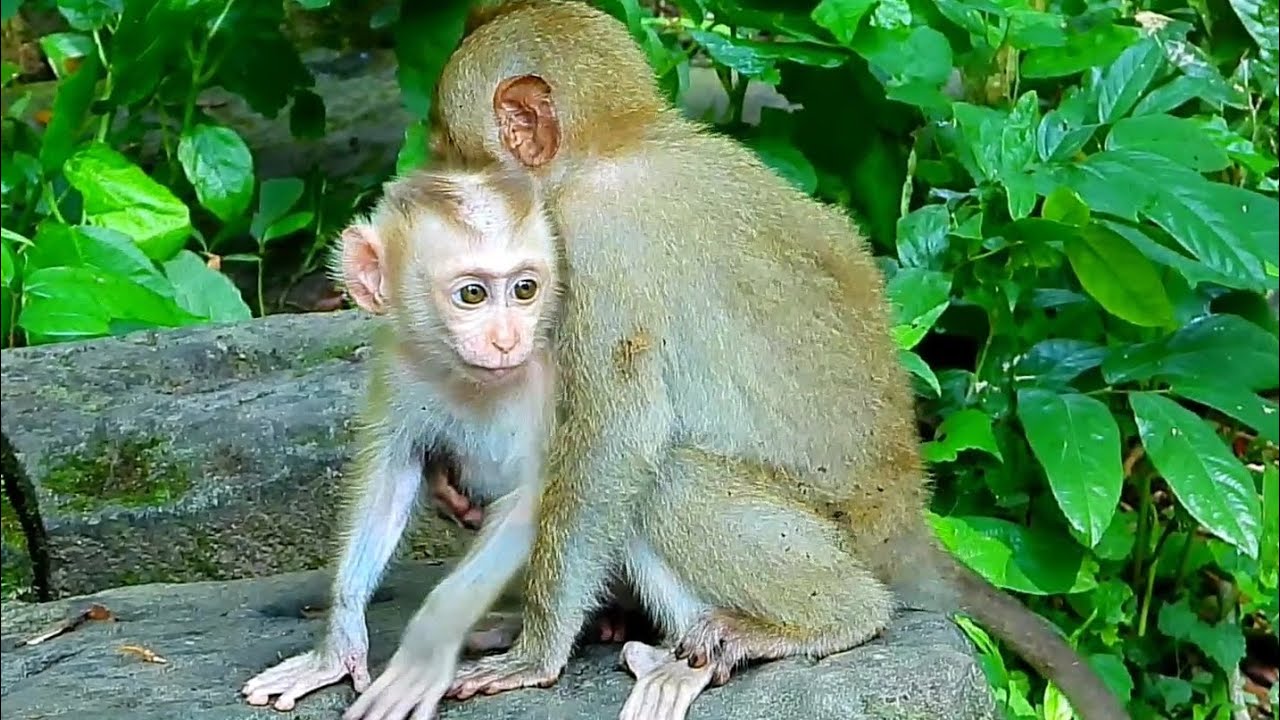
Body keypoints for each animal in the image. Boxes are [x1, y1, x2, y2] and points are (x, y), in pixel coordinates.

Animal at [240, 166, 564, 719]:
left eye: (525, 289)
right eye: (472, 295)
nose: (507, 340)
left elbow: (533, 499)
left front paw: (425, 651)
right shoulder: (398, 366)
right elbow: (388, 485)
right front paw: (338, 643)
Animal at [397, 3, 1129, 720]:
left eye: (456, 161)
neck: (617, 148)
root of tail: (905, 529)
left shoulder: (598, 245)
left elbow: (613, 444)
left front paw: (536, 654)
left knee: (667, 479)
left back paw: (817, 623)